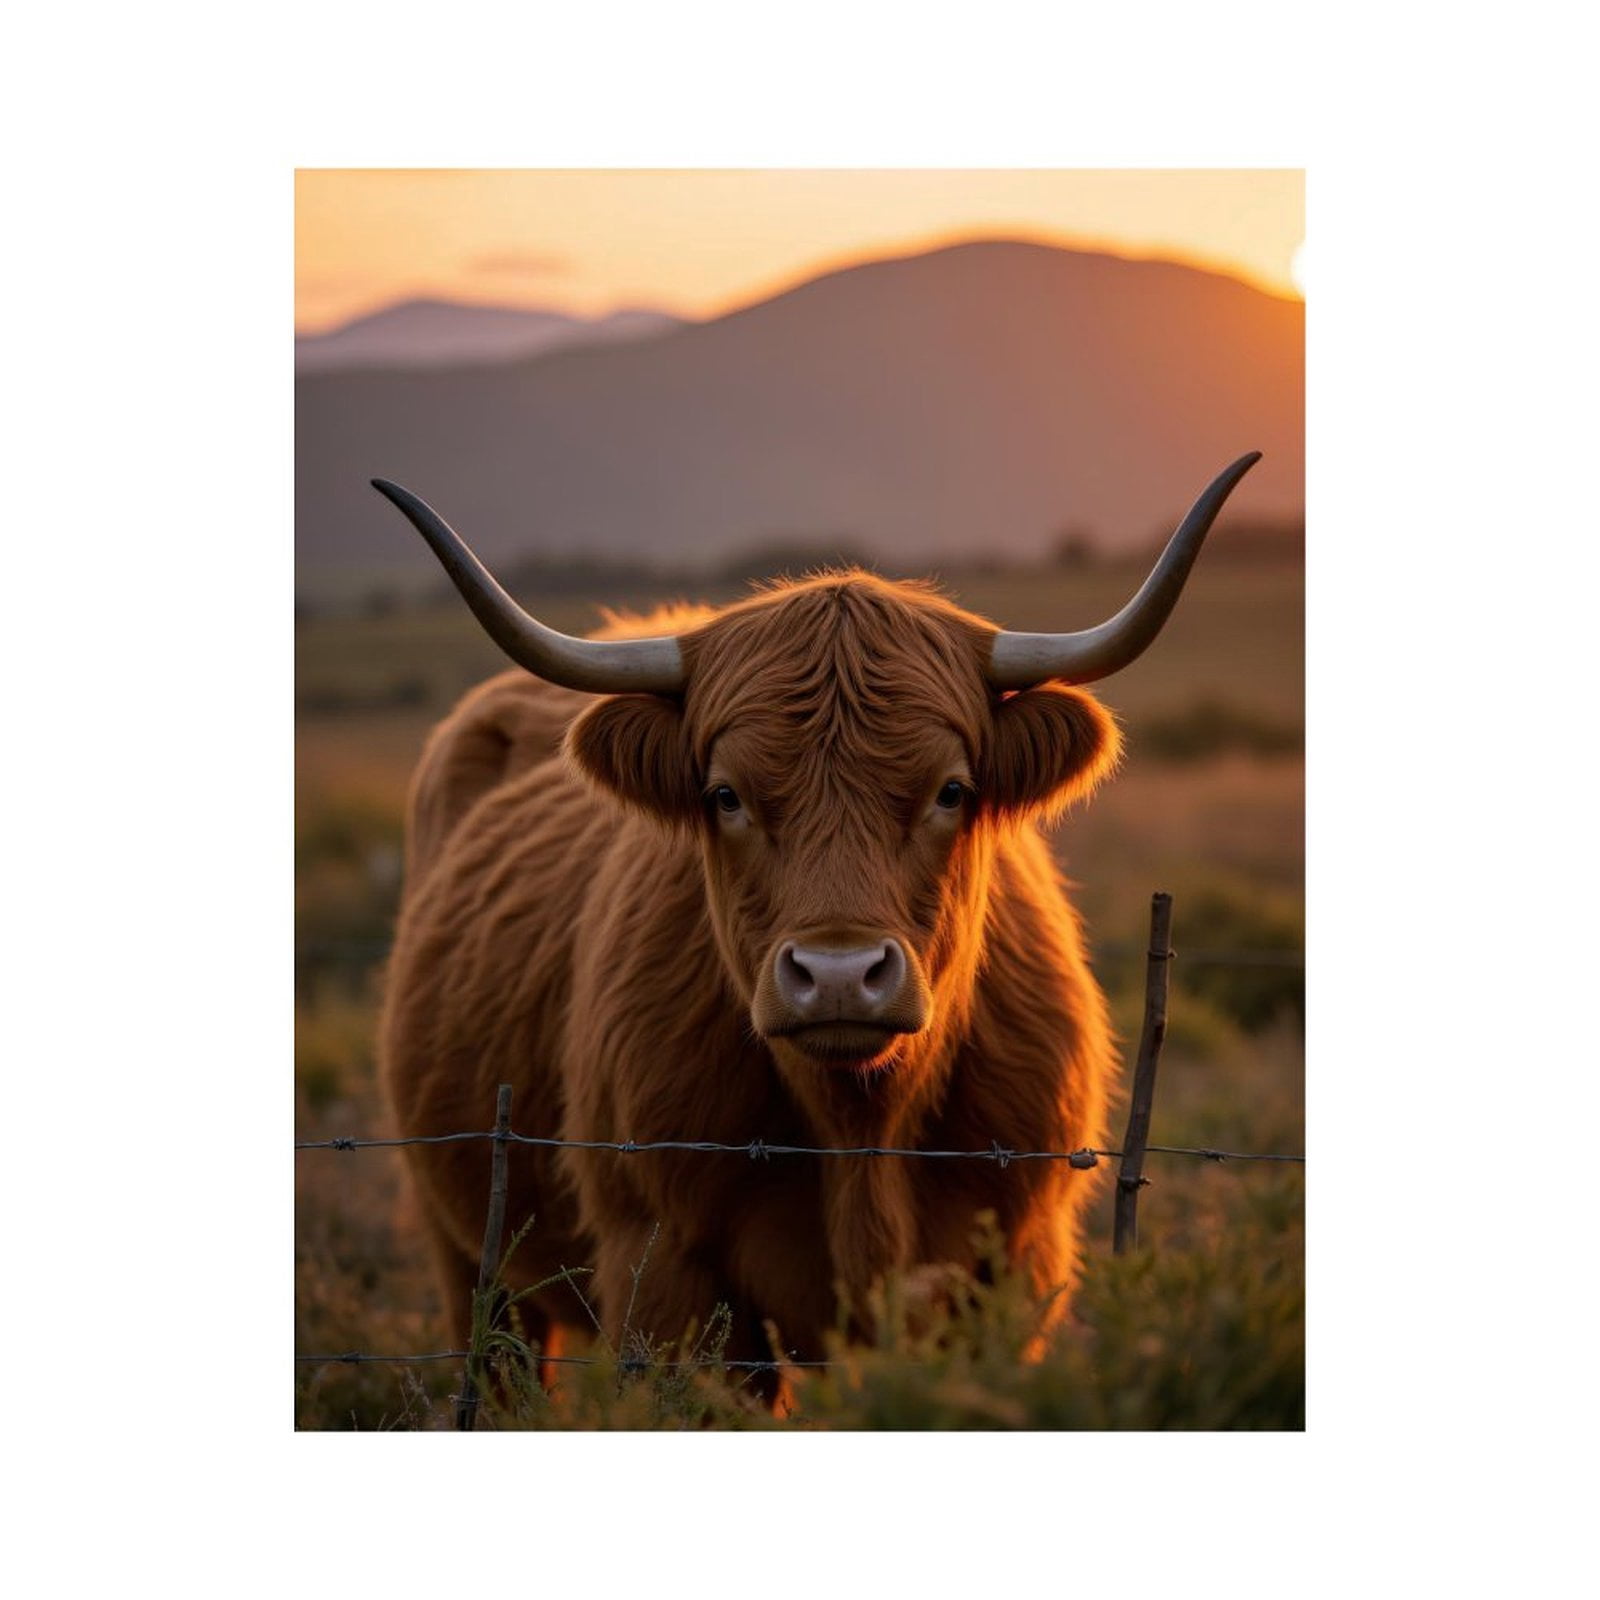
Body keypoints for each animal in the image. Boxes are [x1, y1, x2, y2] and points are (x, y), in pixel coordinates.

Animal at [373, 453, 1260, 1391]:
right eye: (725, 795)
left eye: (951, 790)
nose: (838, 976)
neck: (862, 1128)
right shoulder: (663, 1269)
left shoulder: (1018, 1263)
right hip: (469, 1251)